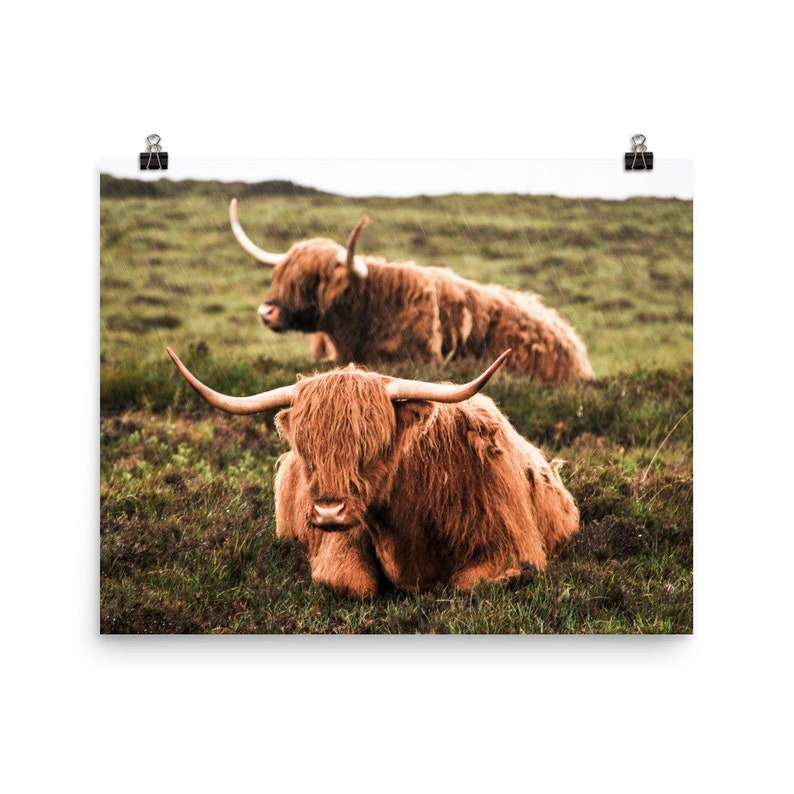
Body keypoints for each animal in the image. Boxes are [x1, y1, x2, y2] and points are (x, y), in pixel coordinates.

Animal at [167, 347, 580, 597]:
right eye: (307, 450)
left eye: (370, 446)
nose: (329, 512)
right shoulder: (340, 547)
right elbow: (354, 584)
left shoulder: (512, 551)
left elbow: (467, 583)